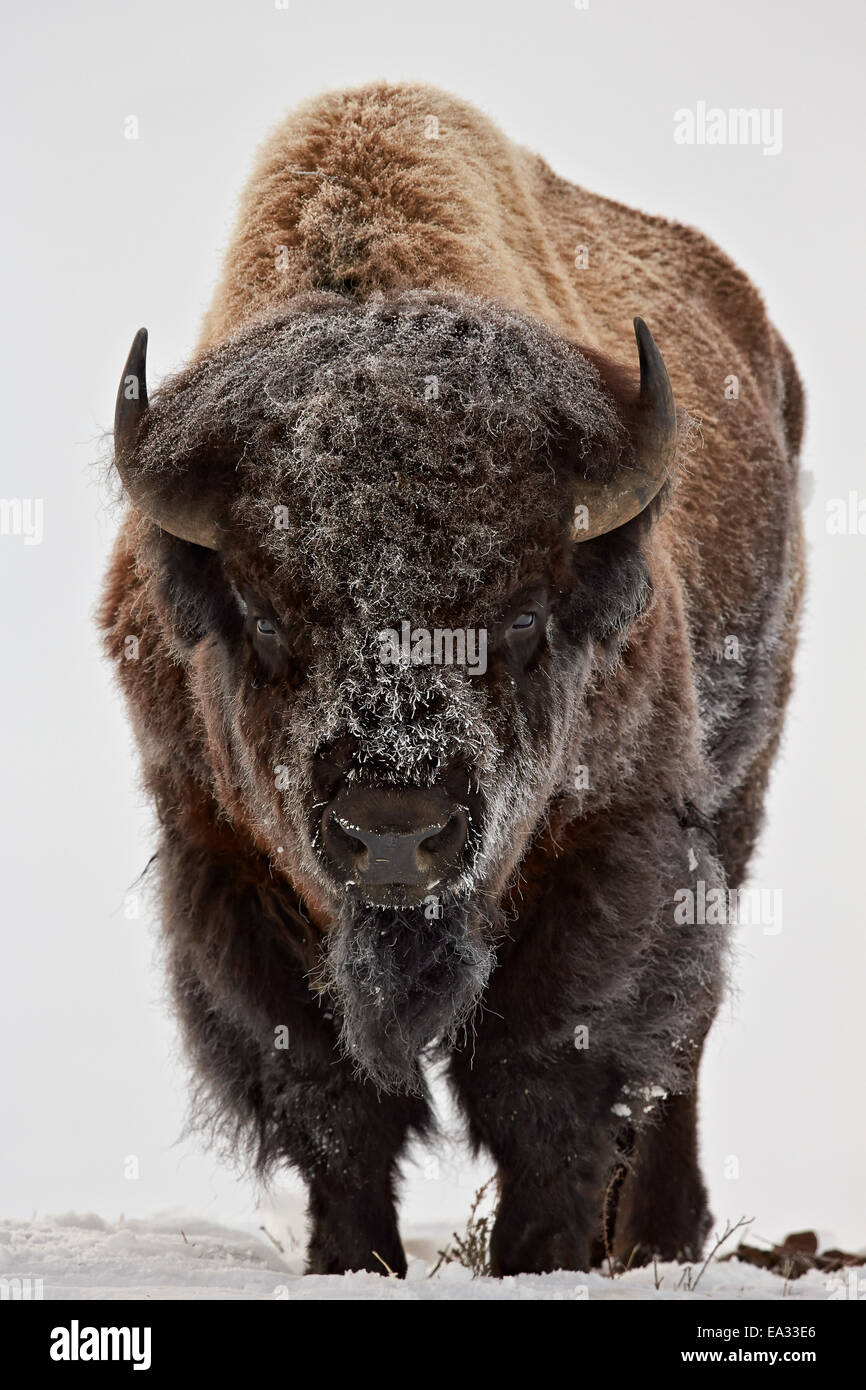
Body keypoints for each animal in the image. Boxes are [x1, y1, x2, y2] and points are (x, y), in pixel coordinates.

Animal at [100, 82, 805, 1277]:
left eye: (520, 618)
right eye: (262, 618)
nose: (395, 831)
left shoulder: (614, 843)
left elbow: (551, 1069)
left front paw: (541, 1254)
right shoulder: (223, 855)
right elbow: (329, 1093)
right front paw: (352, 1260)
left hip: (734, 799)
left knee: (680, 1049)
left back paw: (659, 1234)